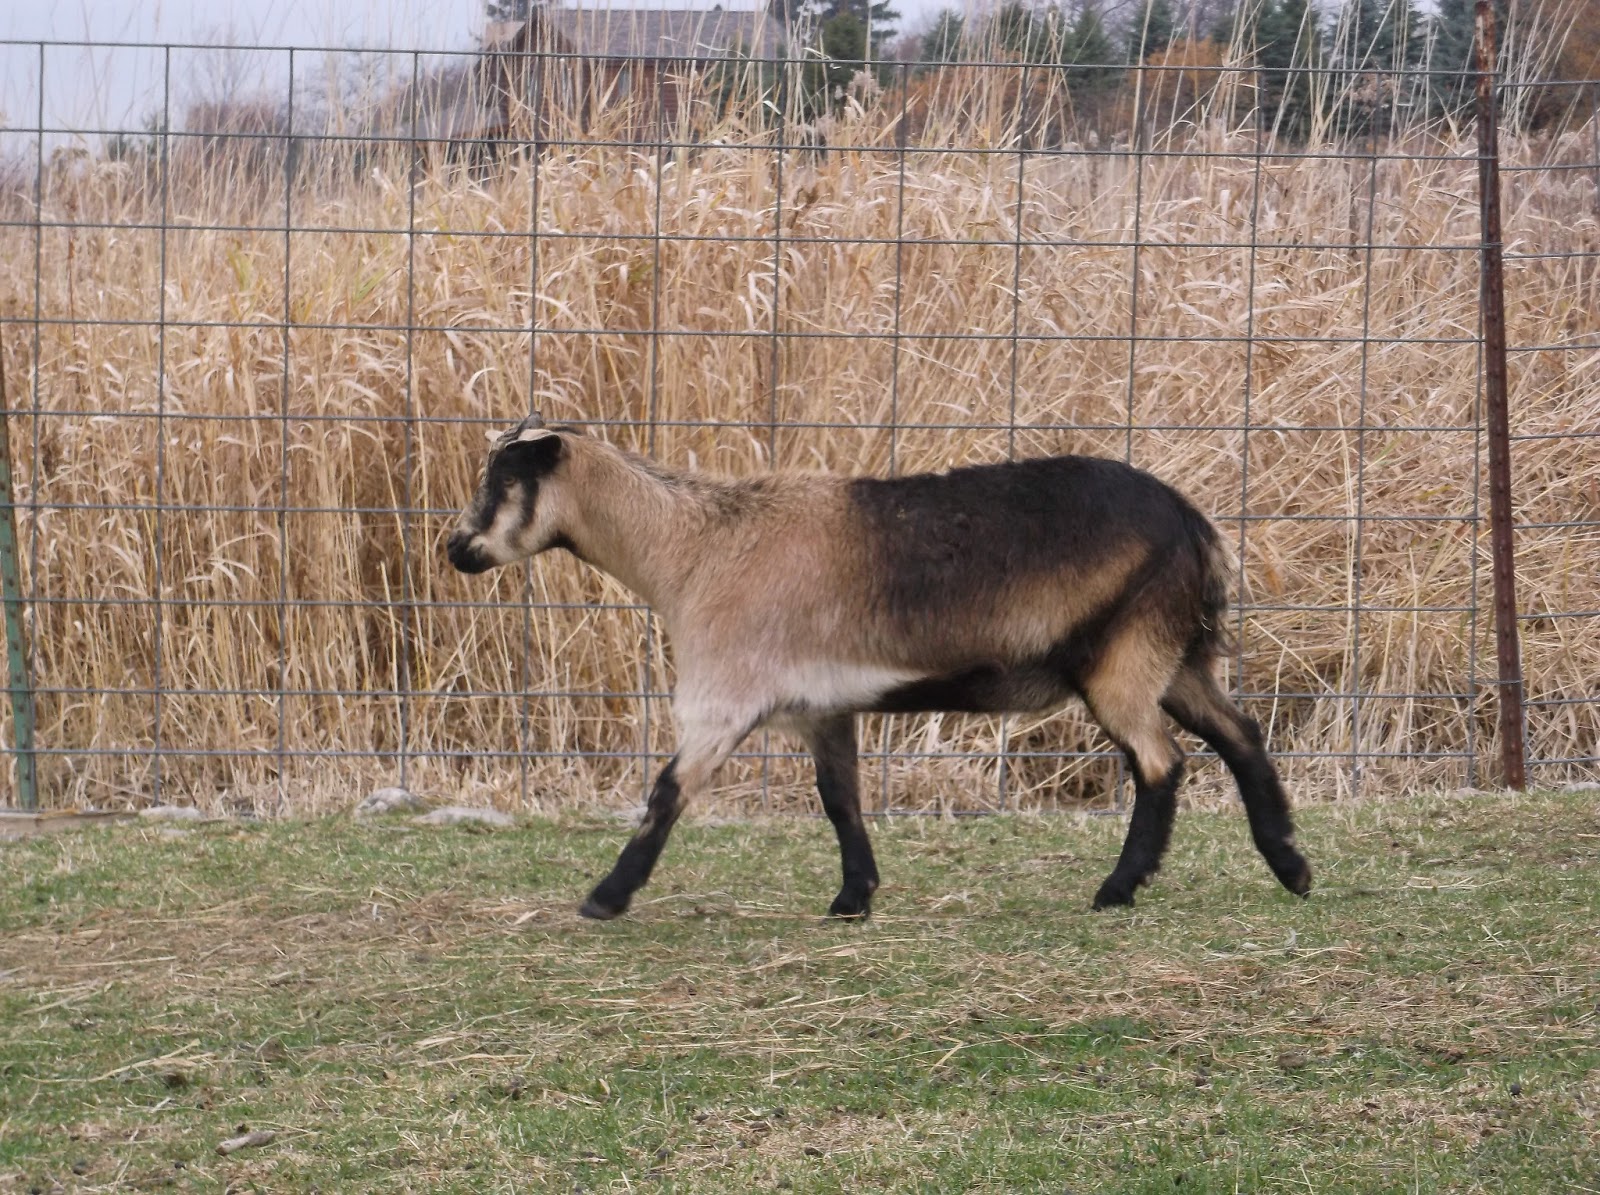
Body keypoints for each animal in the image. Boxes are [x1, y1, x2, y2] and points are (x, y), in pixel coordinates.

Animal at [446, 415, 1312, 920]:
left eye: (505, 481)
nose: (457, 547)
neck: (692, 547)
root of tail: (1197, 527)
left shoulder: (725, 695)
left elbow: (666, 792)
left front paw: (604, 896)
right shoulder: (821, 703)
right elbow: (841, 800)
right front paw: (852, 897)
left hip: (1124, 655)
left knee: (1160, 761)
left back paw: (1118, 889)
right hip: (1174, 653)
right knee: (1241, 734)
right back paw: (1292, 867)